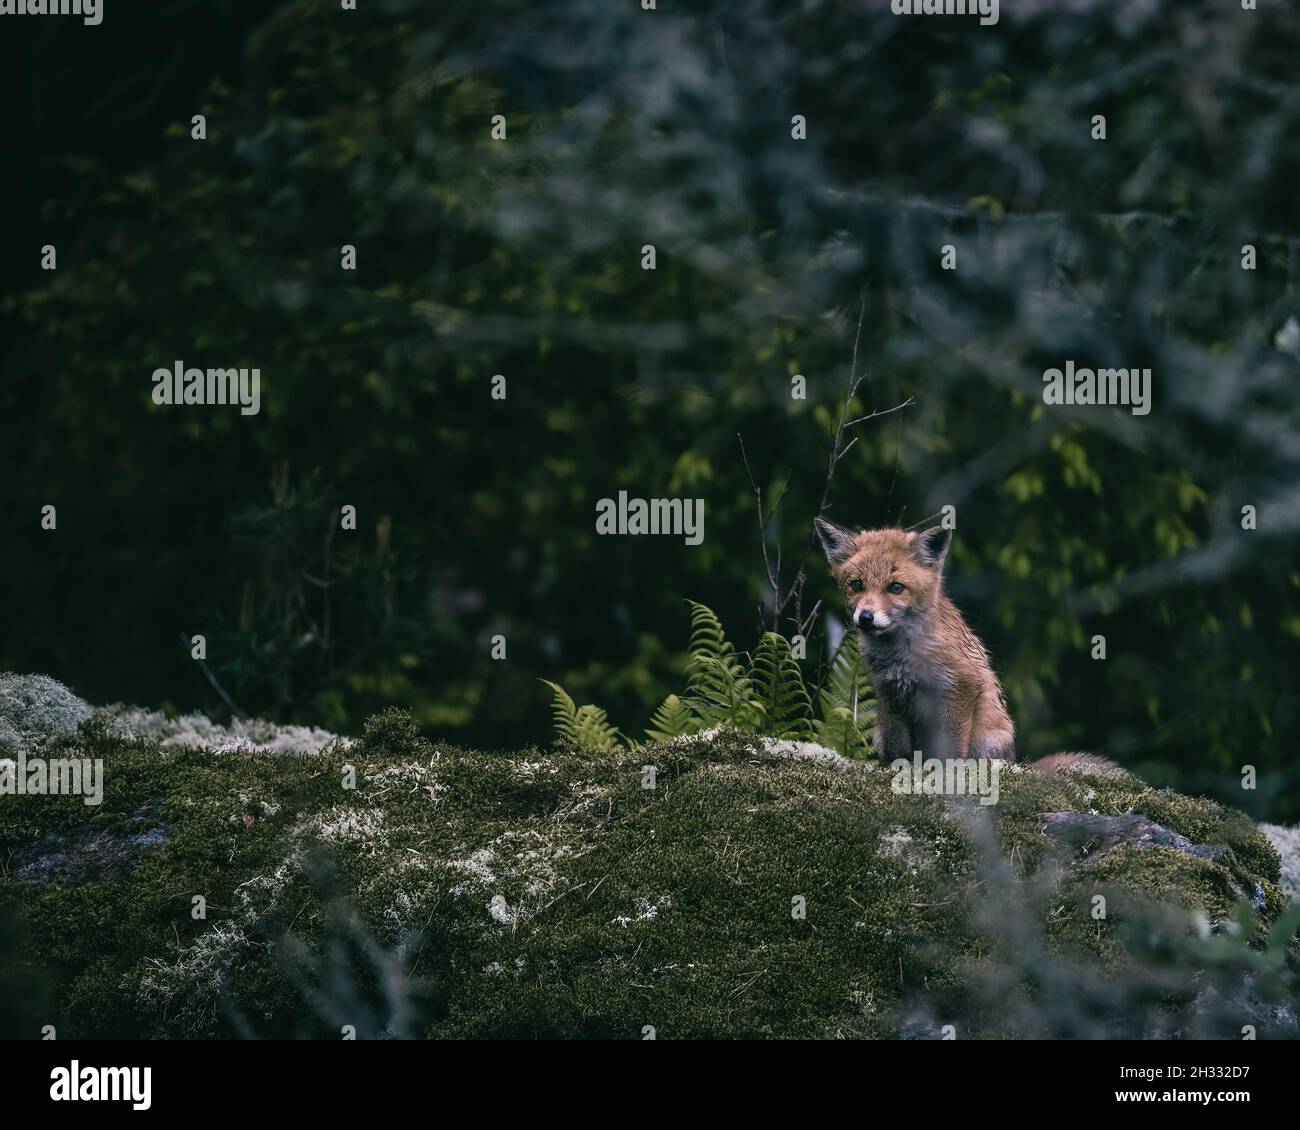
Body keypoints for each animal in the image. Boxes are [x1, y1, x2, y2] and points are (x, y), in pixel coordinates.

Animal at [814, 518, 1116, 775]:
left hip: (988, 737)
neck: (902, 655)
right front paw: (896, 772)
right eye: (857, 585)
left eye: (896, 587)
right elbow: (897, 748)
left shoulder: (960, 686)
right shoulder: (889, 694)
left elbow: (949, 749)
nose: (865, 617)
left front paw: (944, 775)